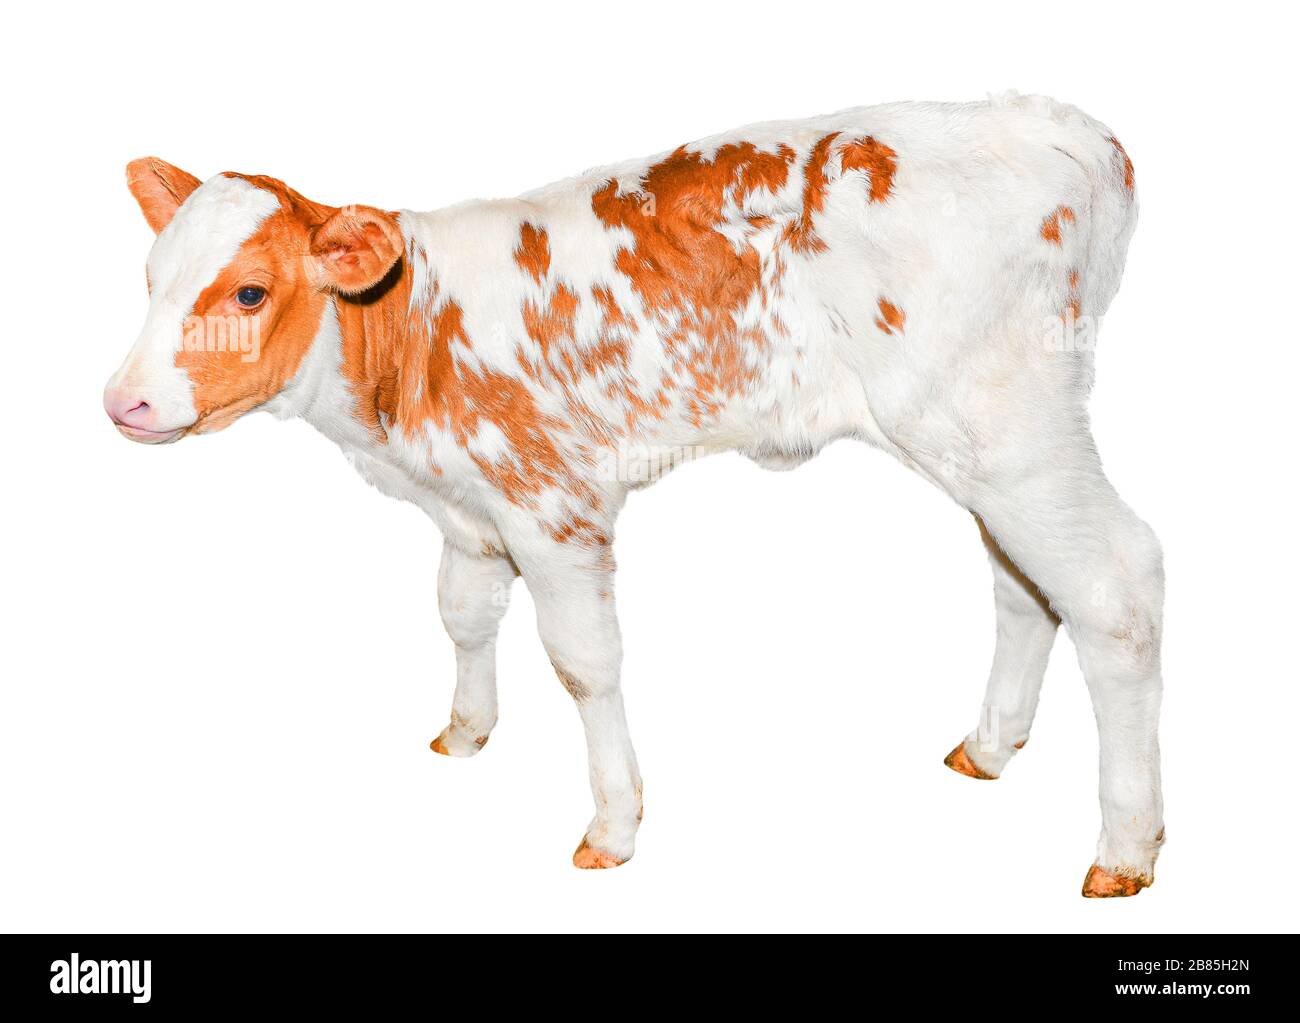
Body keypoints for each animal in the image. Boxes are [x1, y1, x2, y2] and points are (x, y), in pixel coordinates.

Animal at [105, 93, 1163, 897]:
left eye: (249, 291)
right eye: (151, 279)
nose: (125, 401)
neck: (406, 338)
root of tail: (1058, 125)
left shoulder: (554, 504)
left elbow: (586, 663)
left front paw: (613, 824)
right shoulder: (470, 510)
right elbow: (461, 614)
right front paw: (466, 732)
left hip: (1004, 427)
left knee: (1115, 587)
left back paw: (1126, 845)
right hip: (986, 441)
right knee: (1024, 585)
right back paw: (989, 747)